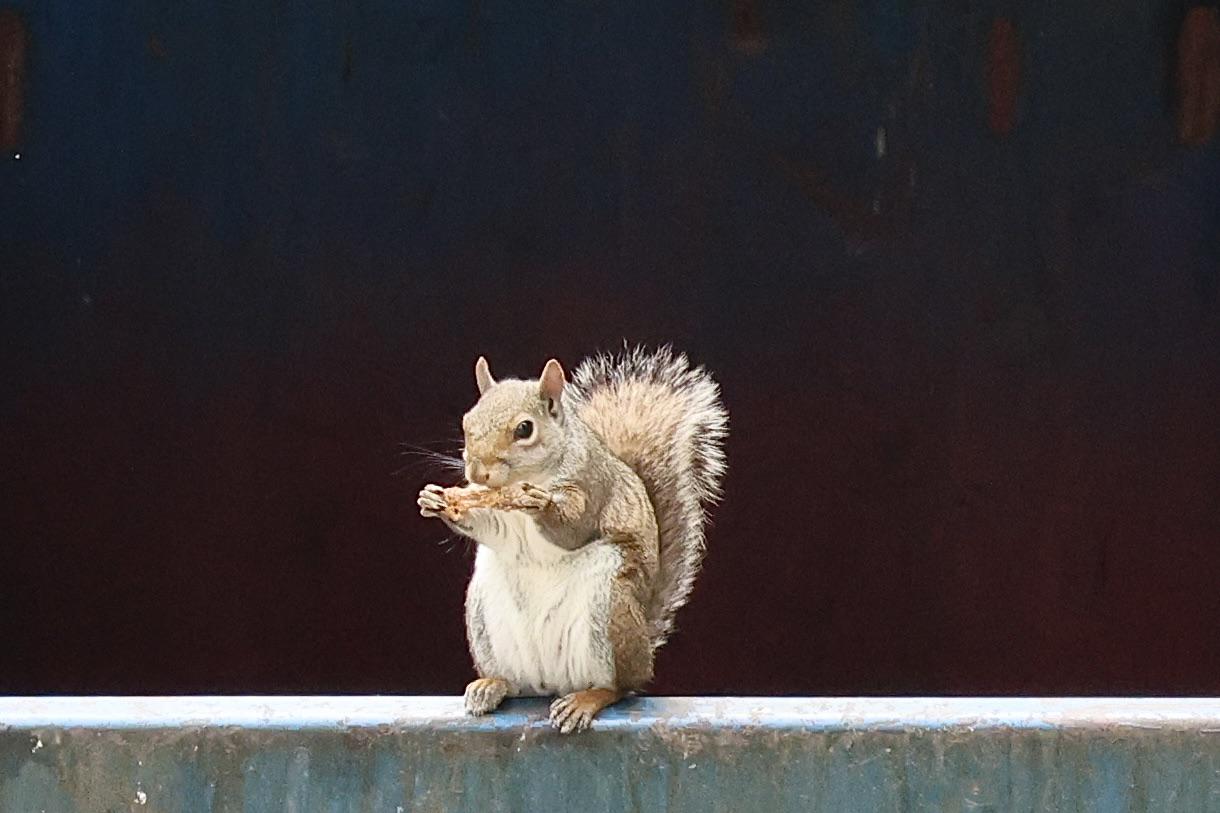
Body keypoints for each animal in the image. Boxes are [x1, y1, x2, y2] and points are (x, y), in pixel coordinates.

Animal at [417, 346, 727, 733]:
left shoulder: (592, 487)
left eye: (525, 428)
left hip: (613, 608)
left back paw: (586, 700)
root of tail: (553, 681)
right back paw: (491, 685)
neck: (532, 475)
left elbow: (574, 528)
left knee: (620, 687)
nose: (477, 472)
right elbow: (486, 524)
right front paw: (438, 501)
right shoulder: (497, 515)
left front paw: (540, 503)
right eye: (466, 422)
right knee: (516, 683)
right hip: (483, 616)